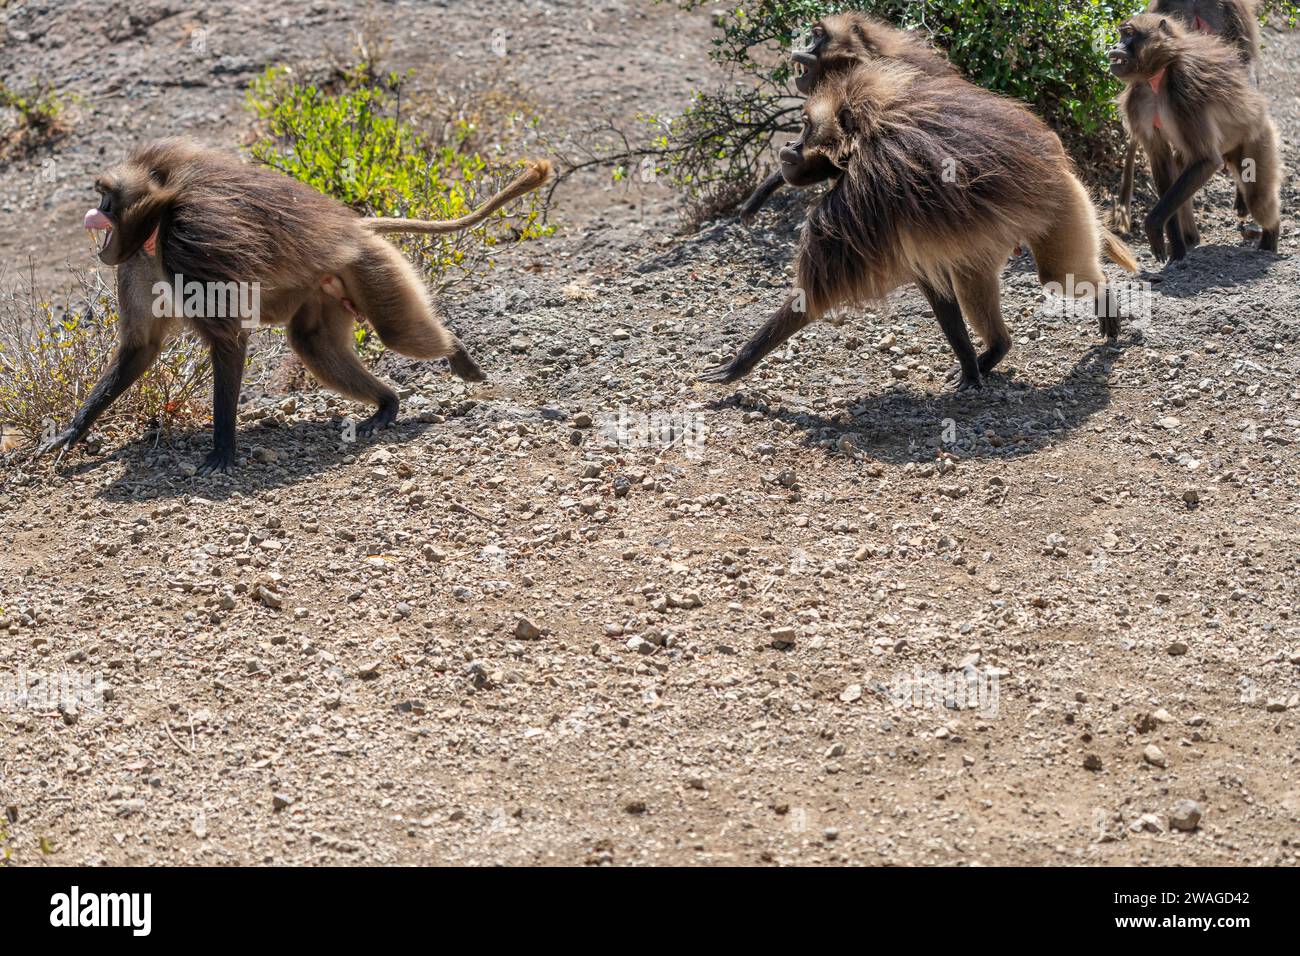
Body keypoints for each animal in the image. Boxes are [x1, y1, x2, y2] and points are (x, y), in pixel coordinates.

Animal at [36, 138, 551, 475]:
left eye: (108, 196)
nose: (93, 213)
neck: (159, 220)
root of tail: (358, 228)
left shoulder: (192, 241)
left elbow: (228, 338)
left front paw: (223, 450)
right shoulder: (137, 264)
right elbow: (141, 347)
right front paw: (70, 433)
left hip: (373, 270)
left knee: (396, 333)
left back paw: (460, 358)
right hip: (328, 294)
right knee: (314, 346)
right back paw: (387, 405)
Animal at [702, 61, 1138, 391]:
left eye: (808, 129)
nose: (789, 148)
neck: (861, 138)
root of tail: (1061, 167)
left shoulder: (857, 207)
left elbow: (812, 296)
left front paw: (738, 363)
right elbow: (935, 285)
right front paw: (969, 368)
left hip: (1062, 212)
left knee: (1058, 276)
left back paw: (1105, 298)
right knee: (972, 280)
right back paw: (994, 351)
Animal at [1110, 14, 1280, 263]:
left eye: (1129, 34)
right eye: (1121, 33)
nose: (1114, 46)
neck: (1158, 76)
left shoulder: (1184, 90)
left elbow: (1207, 160)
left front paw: (1152, 225)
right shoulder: (1138, 100)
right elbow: (1161, 160)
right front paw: (1176, 250)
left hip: (1258, 138)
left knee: (1257, 197)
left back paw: (1270, 240)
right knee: (1180, 165)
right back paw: (1191, 239)